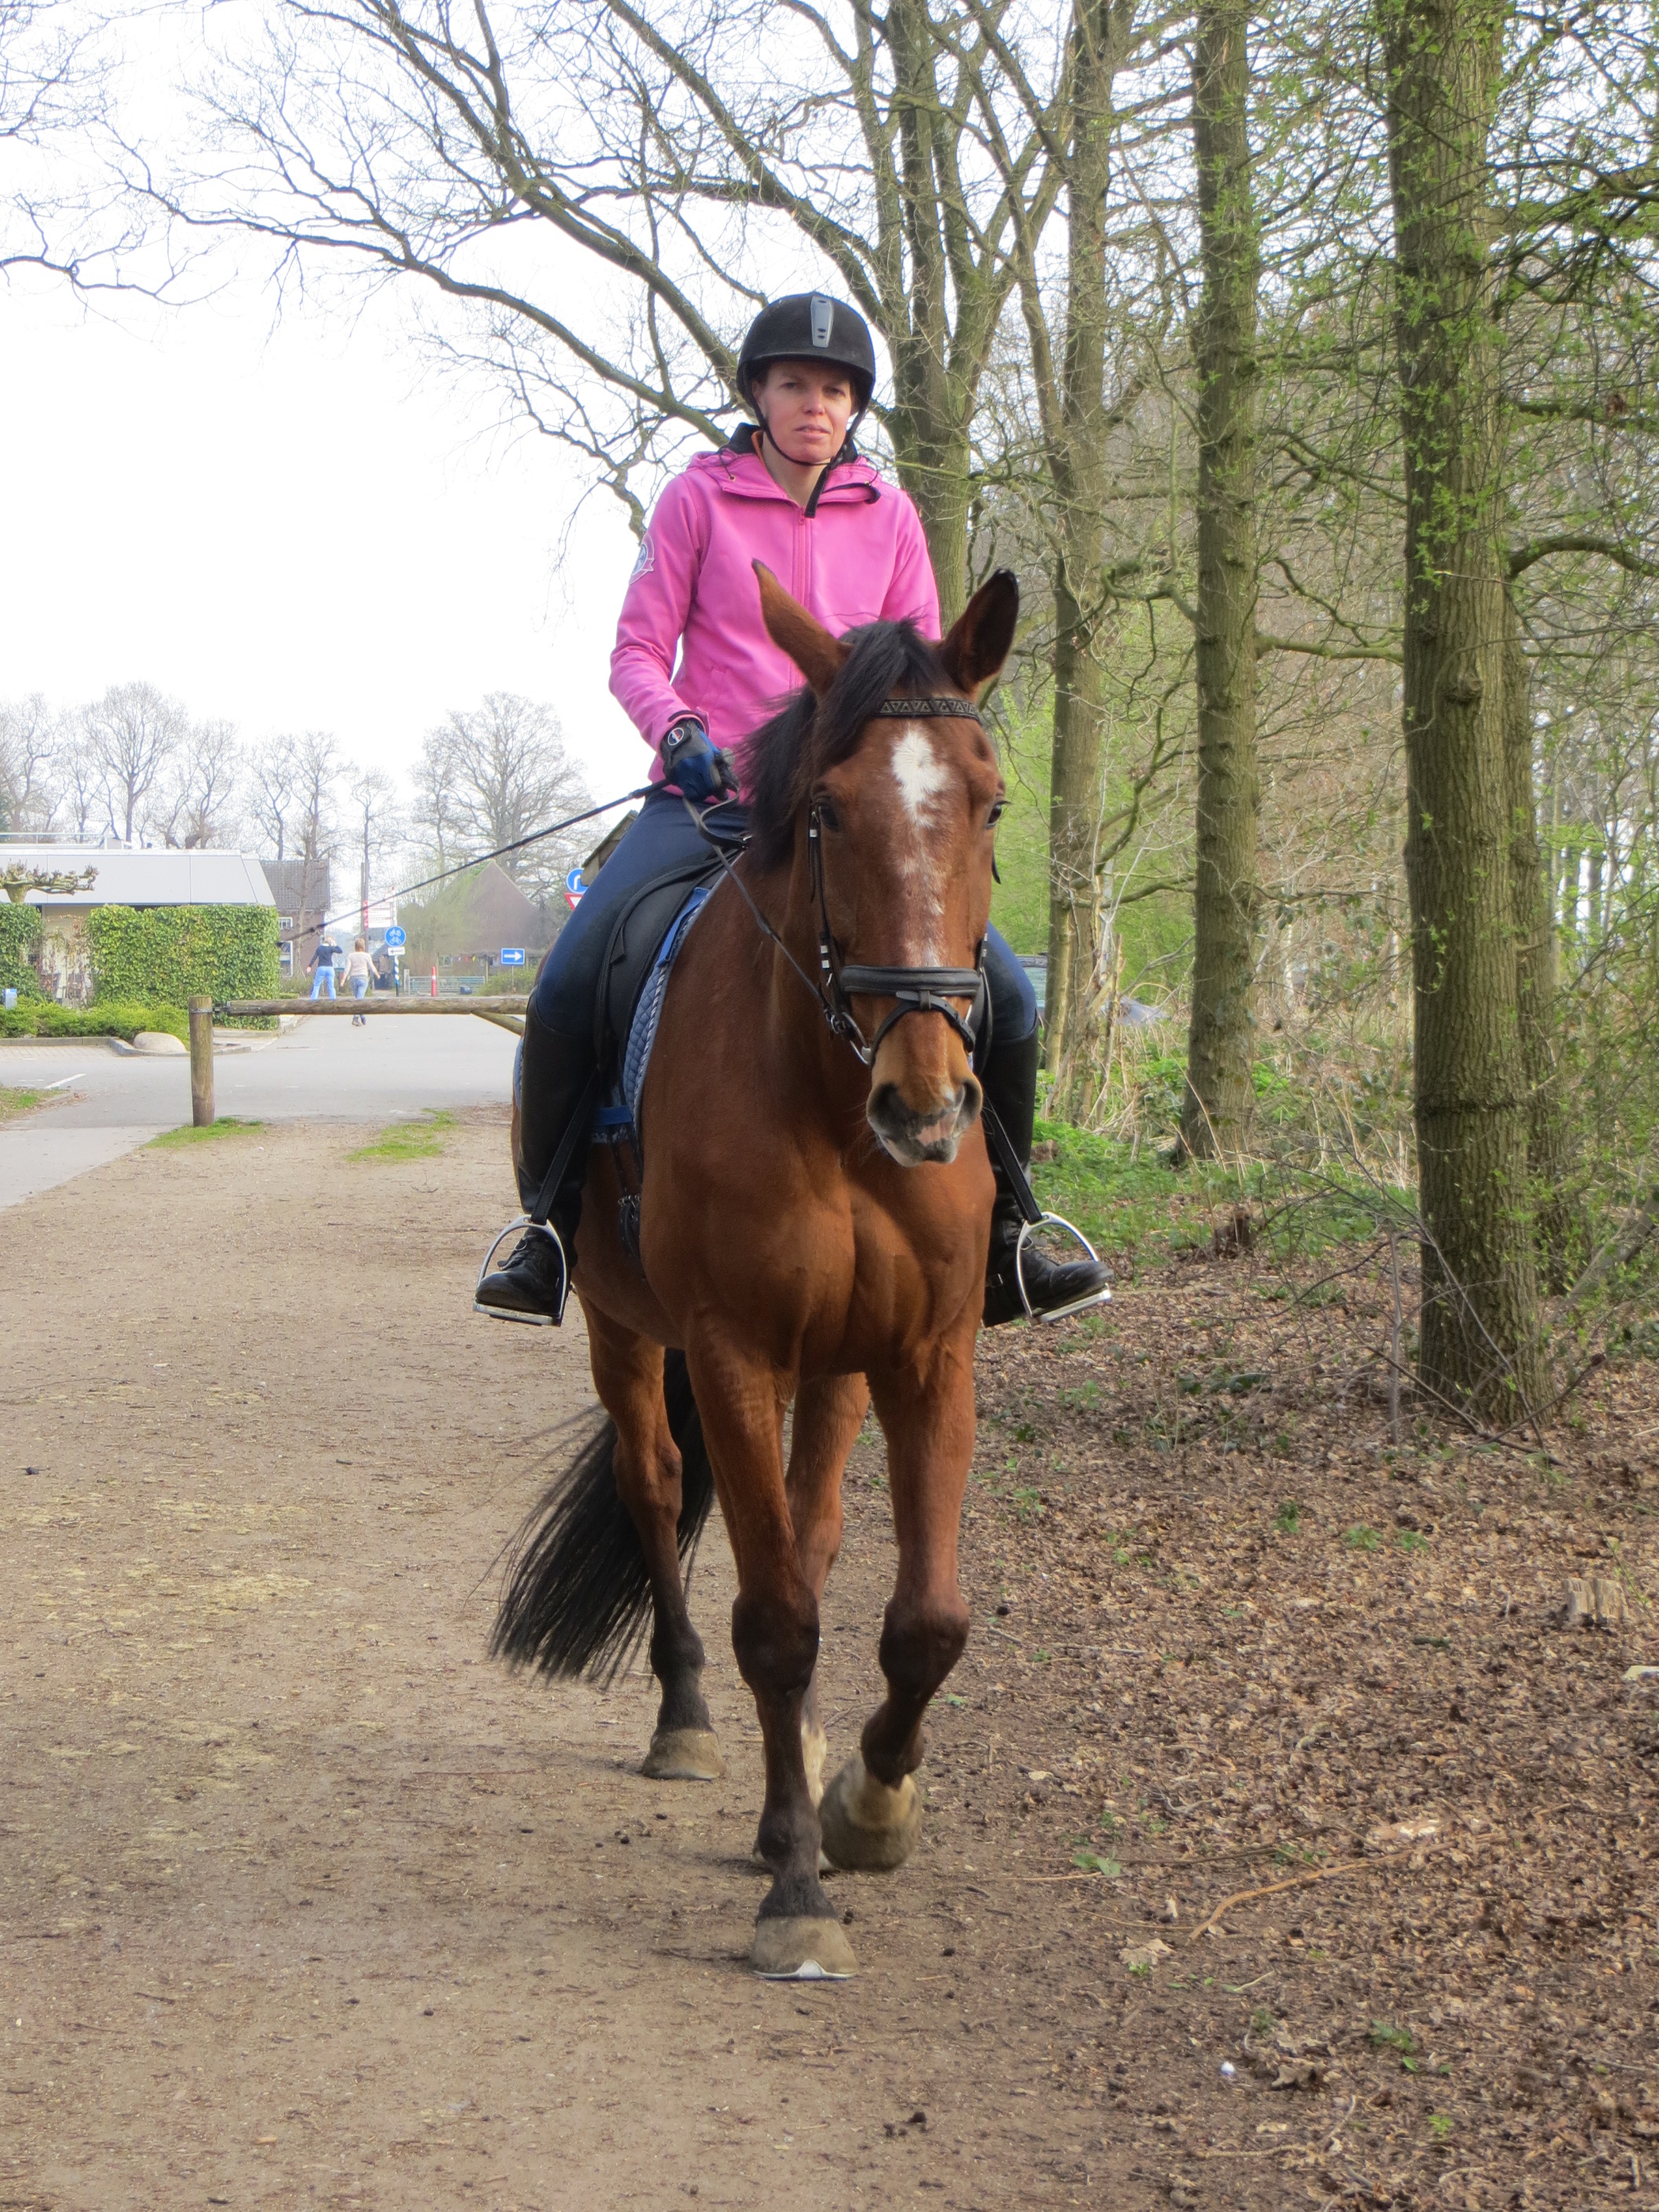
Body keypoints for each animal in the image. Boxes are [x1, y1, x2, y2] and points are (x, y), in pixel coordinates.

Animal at [493, 562, 1016, 1979]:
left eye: (990, 799)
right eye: (828, 810)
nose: (926, 1102)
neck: (831, 1102)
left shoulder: (926, 1352)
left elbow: (923, 1619)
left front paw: (867, 1806)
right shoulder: (728, 1345)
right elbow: (773, 1619)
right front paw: (793, 1886)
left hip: (834, 1365)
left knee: (811, 1527)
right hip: (628, 1335)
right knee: (660, 1488)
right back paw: (684, 1720)